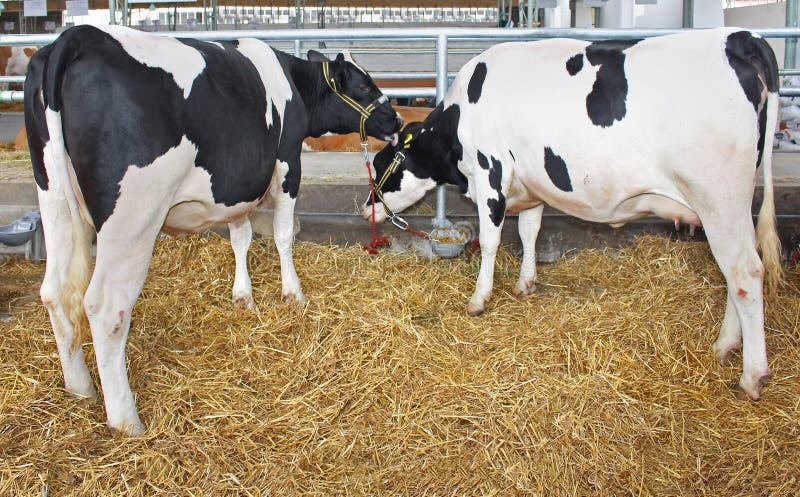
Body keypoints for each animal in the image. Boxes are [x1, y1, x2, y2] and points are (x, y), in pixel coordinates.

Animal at [25, 24, 401, 435]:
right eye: (363, 85)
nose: (396, 120)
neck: (293, 83)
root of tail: (79, 36)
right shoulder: (288, 161)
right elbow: (284, 234)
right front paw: (293, 294)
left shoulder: (237, 184)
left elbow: (241, 238)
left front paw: (243, 296)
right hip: (132, 215)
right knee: (106, 309)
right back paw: (127, 422)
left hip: (54, 198)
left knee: (54, 292)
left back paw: (79, 389)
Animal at [363, 28, 782, 401]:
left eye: (382, 162)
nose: (366, 205)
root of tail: (741, 37)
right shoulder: (531, 184)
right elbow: (529, 231)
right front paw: (526, 283)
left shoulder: (490, 174)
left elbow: (492, 240)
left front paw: (479, 298)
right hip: (735, 205)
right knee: (738, 270)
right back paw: (724, 346)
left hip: (718, 197)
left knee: (745, 273)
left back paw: (751, 375)